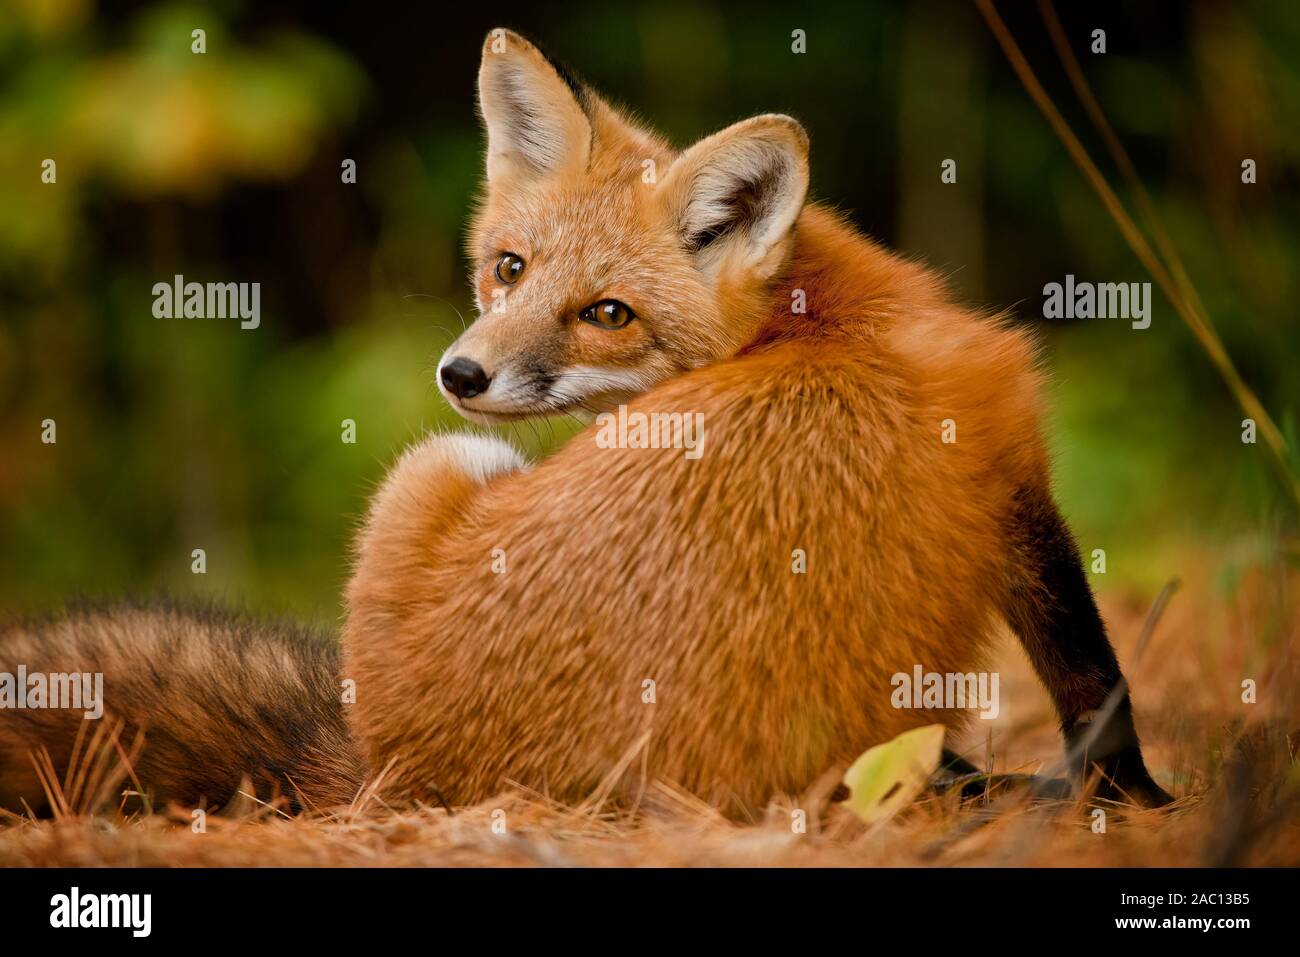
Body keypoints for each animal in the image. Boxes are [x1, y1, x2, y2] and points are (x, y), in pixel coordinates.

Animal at [0, 28, 1171, 818]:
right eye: (509, 267)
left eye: (607, 313)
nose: (461, 372)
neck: (821, 321)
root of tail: (391, 769)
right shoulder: (1009, 472)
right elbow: (1091, 672)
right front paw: (1131, 800)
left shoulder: (1009, 464)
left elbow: (1089, 675)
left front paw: (1131, 801)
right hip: (447, 461)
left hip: (440, 463)